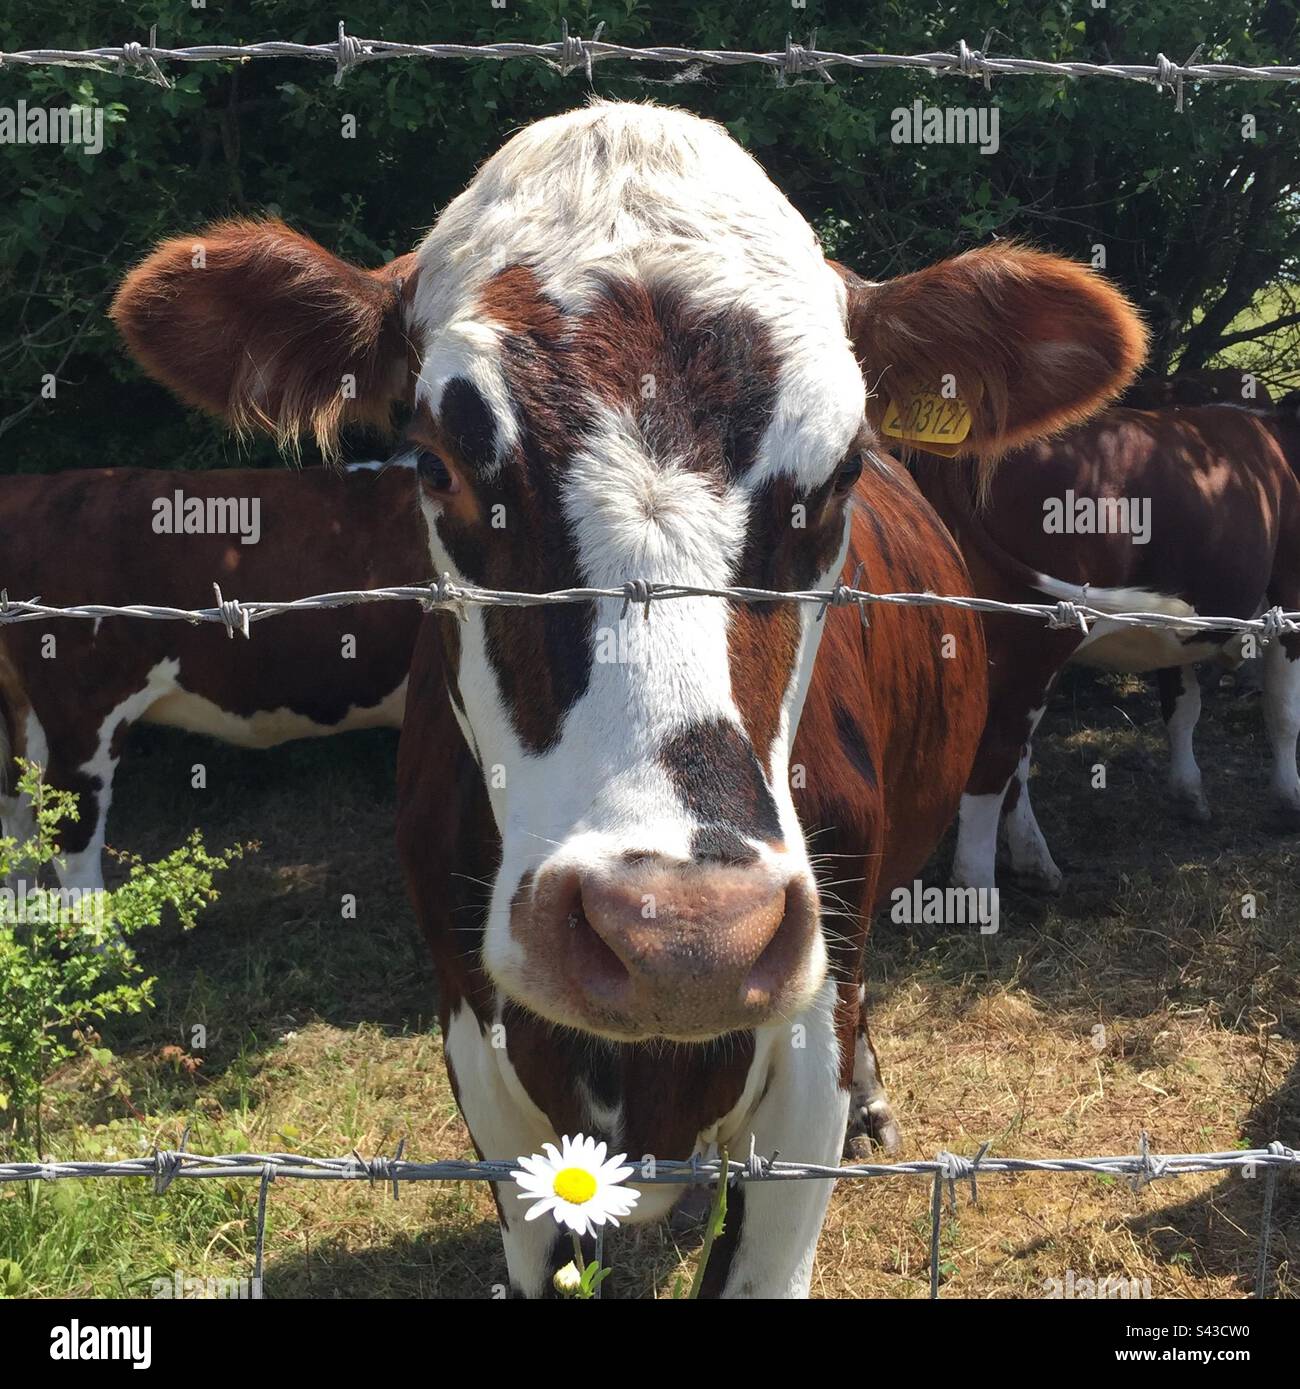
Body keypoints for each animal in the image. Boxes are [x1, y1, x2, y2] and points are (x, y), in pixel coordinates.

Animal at [912, 399, 1300, 893]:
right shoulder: (1291, 595)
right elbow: (1283, 711)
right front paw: (1290, 798)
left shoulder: (1176, 630)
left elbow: (1182, 707)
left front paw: (1188, 793)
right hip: (1033, 638)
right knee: (997, 750)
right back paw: (976, 886)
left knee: (1012, 754)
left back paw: (1035, 861)